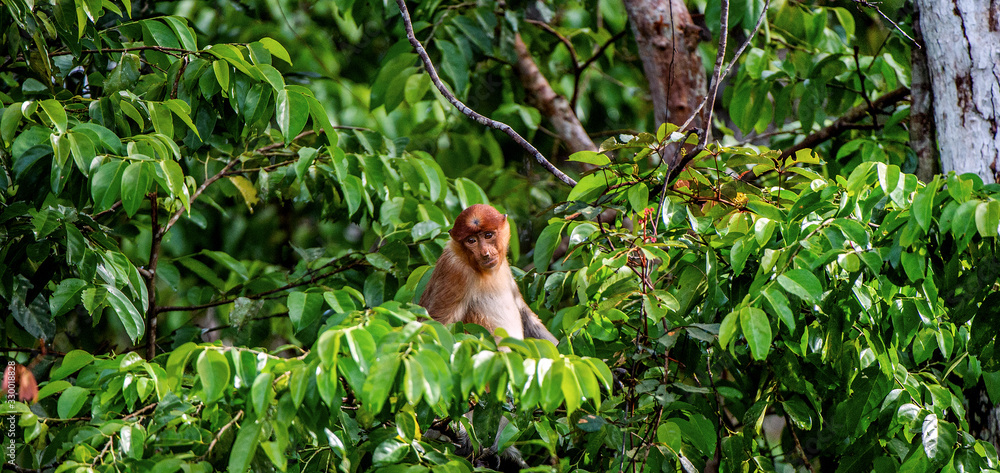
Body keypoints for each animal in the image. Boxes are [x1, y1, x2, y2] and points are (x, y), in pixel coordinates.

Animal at [419, 204, 558, 346]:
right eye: (471, 240)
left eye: (488, 235)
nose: (485, 254)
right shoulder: (455, 271)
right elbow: (435, 324)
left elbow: (525, 314)